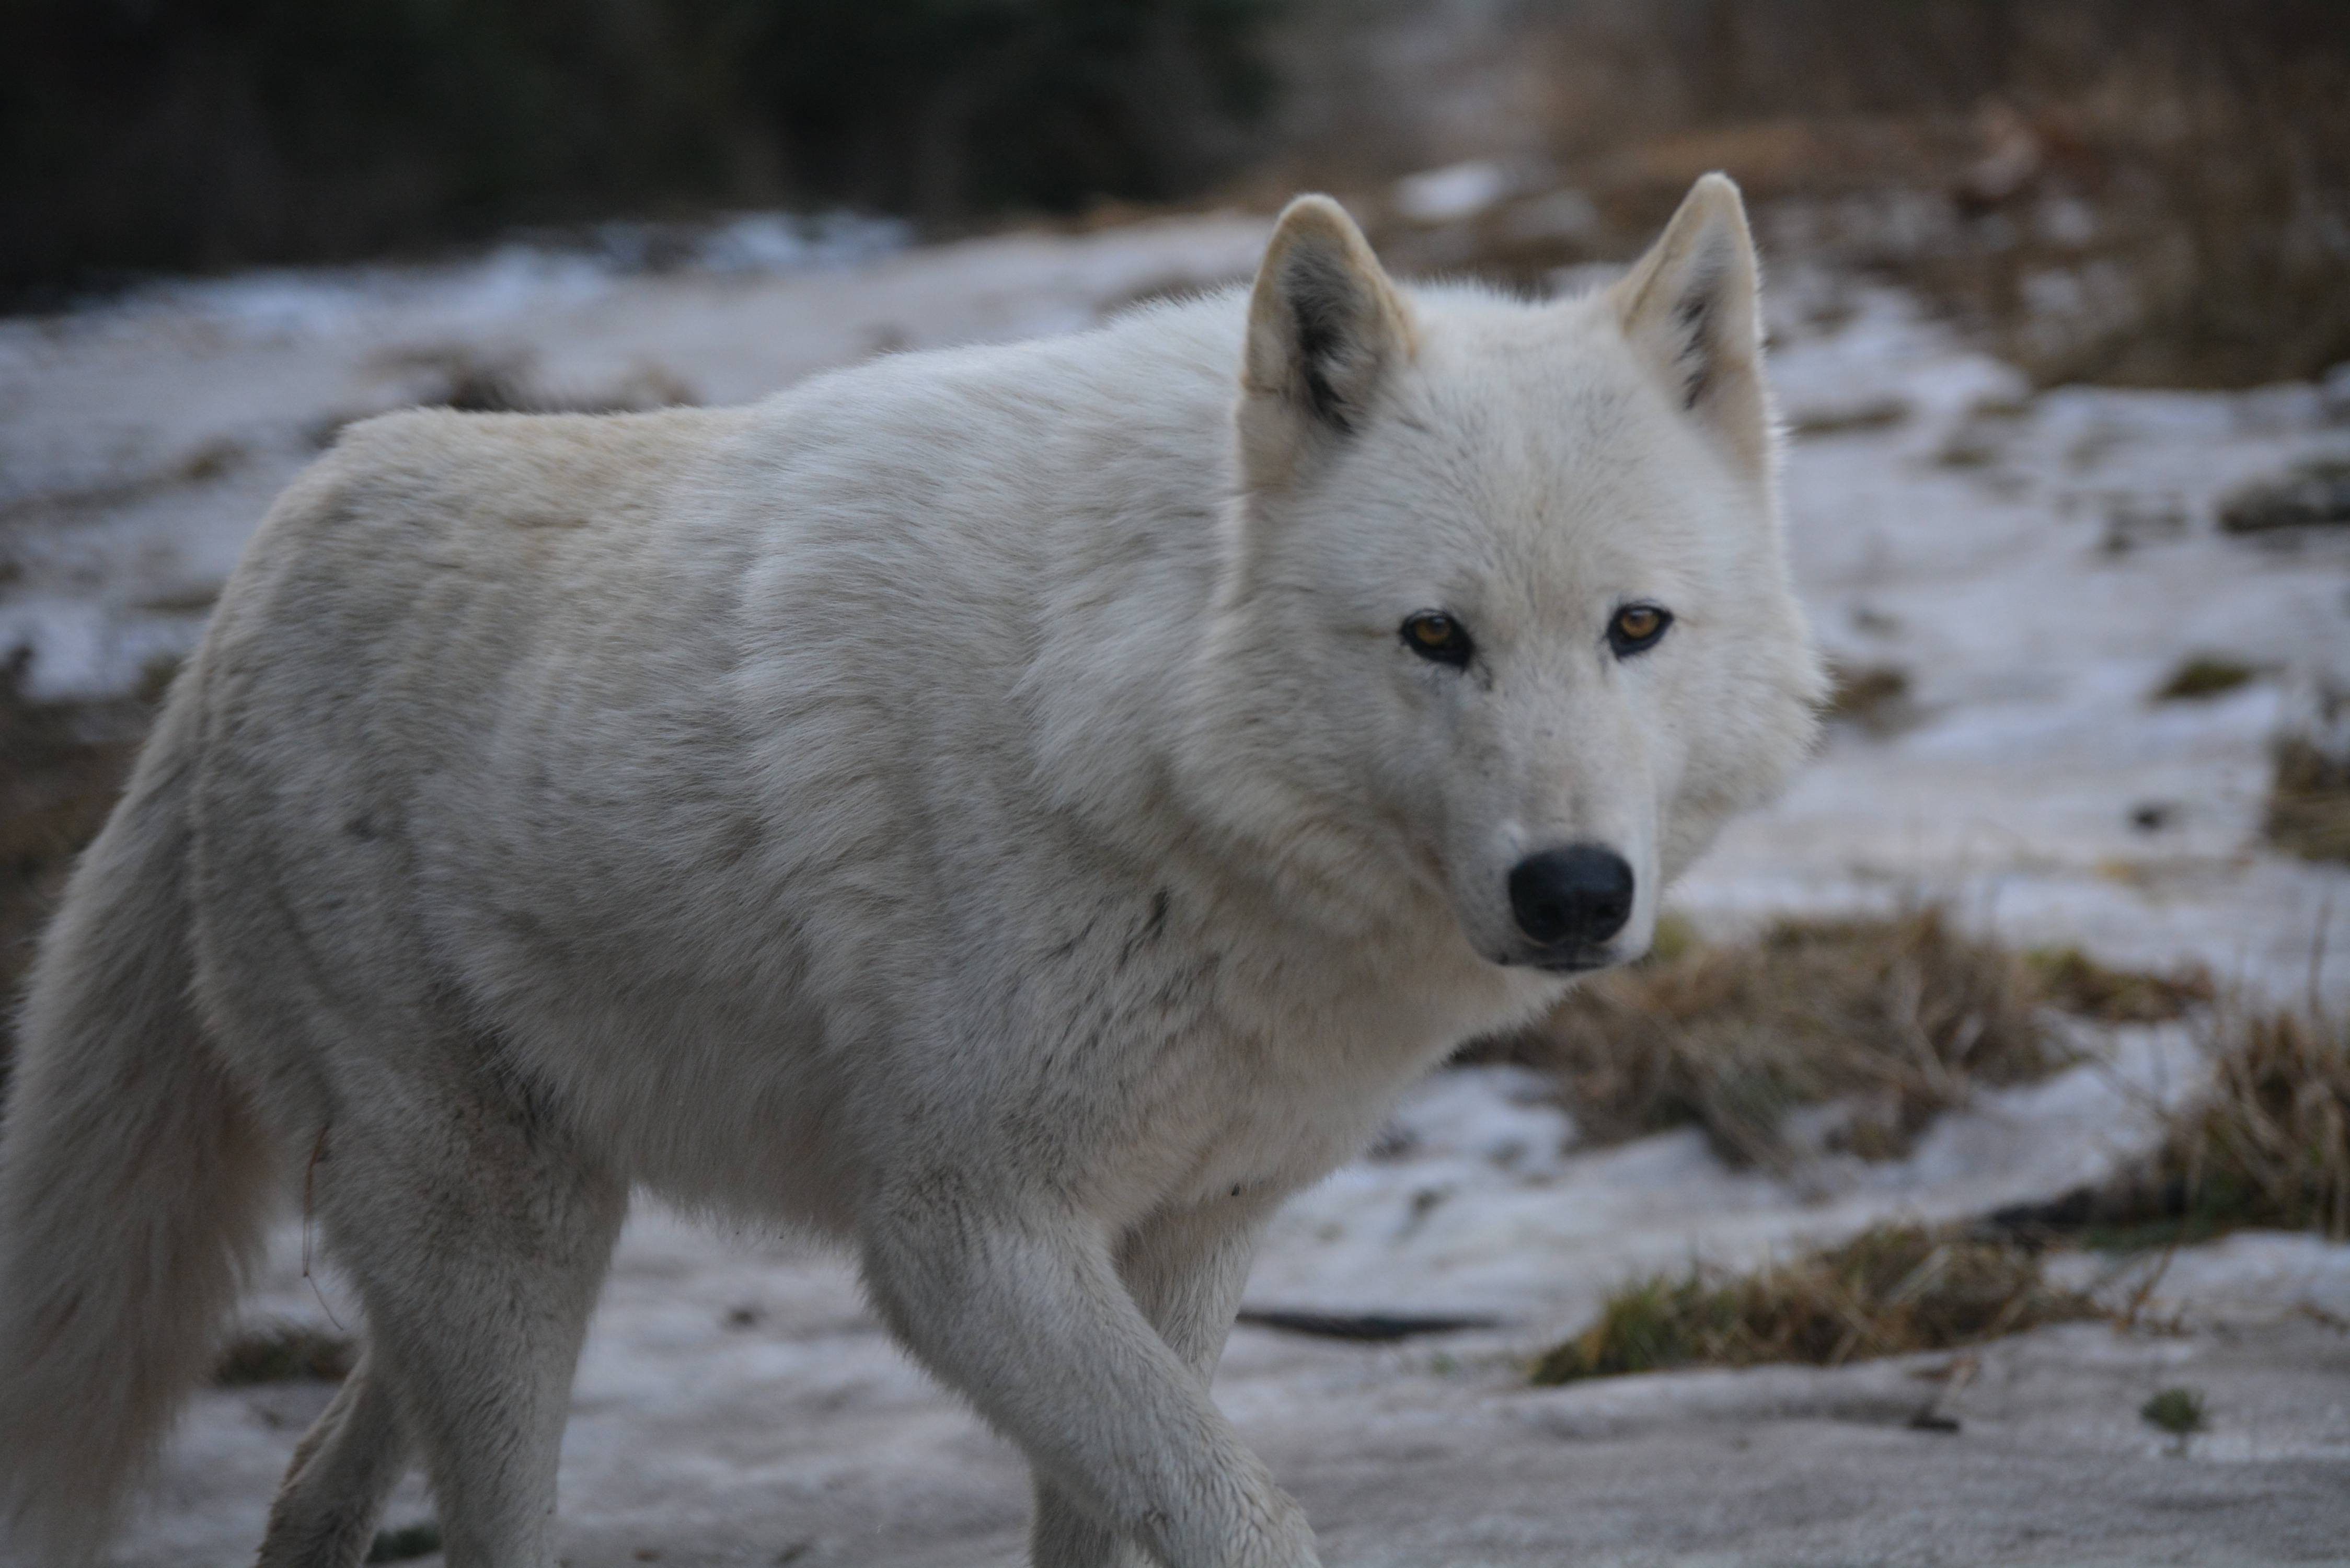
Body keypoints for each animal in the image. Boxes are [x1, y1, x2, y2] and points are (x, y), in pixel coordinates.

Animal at [0, 174, 1820, 1568]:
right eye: (1435, 638)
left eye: (1635, 628)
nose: (1574, 892)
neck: (1140, 744)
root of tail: (243, 590)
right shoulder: (962, 1243)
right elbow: (1234, 1516)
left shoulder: (1186, 1235)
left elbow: (1119, 1519)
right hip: (501, 1237)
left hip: (521, 1222)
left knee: (316, 1479)